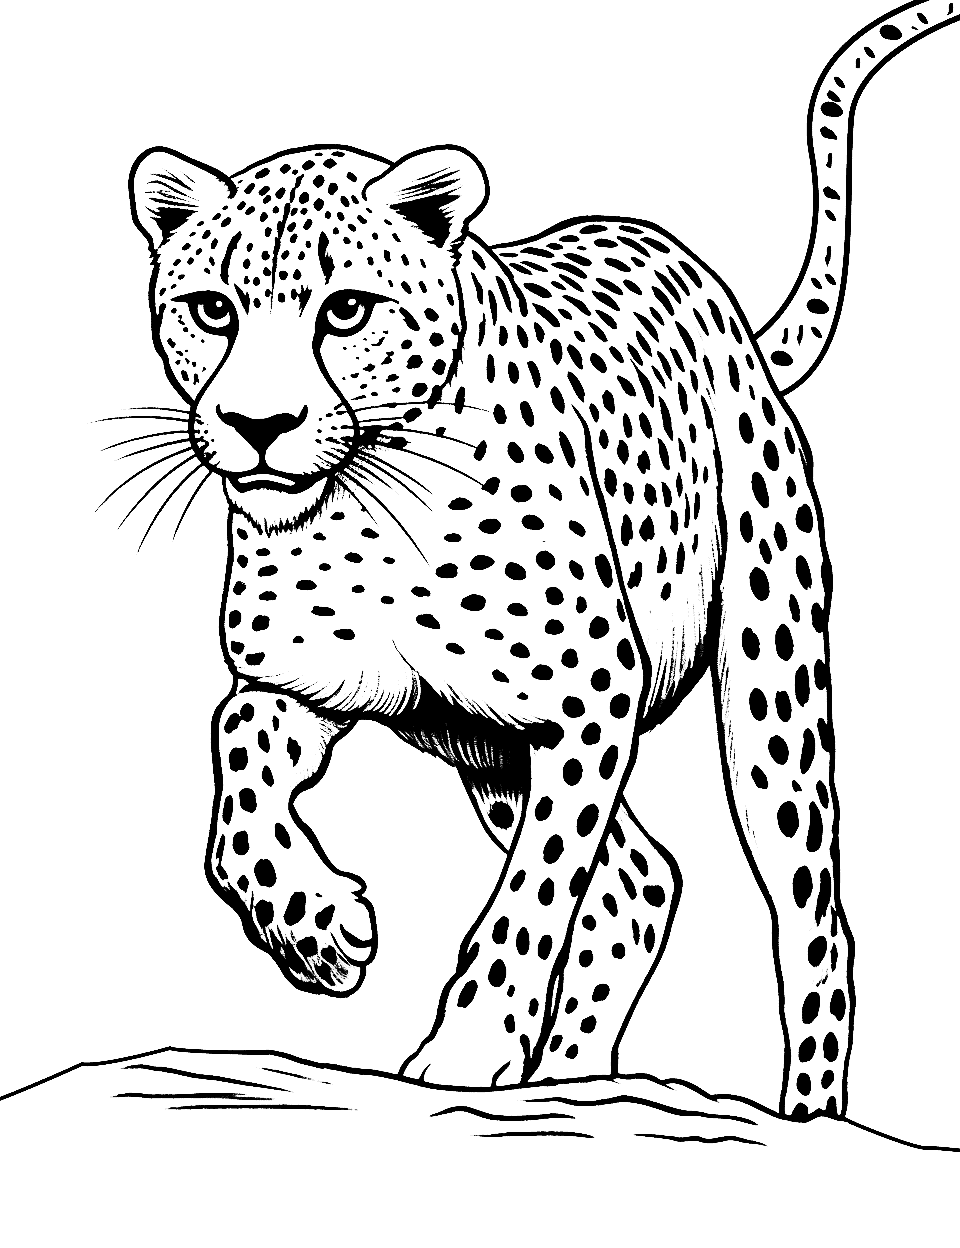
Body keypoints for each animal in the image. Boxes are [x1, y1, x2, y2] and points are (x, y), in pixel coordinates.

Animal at [125, 2, 958, 1120]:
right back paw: (572, 1080)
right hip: (489, 752)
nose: (260, 425)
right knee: (644, 882)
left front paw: (466, 1050)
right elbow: (236, 776)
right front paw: (316, 930)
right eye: (212, 309)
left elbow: (532, 897)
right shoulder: (311, 683)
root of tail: (718, 302)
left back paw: (804, 1112)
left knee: (808, 918)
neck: (362, 510)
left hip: (770, 686)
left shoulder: (588, 703)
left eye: (346, 310)